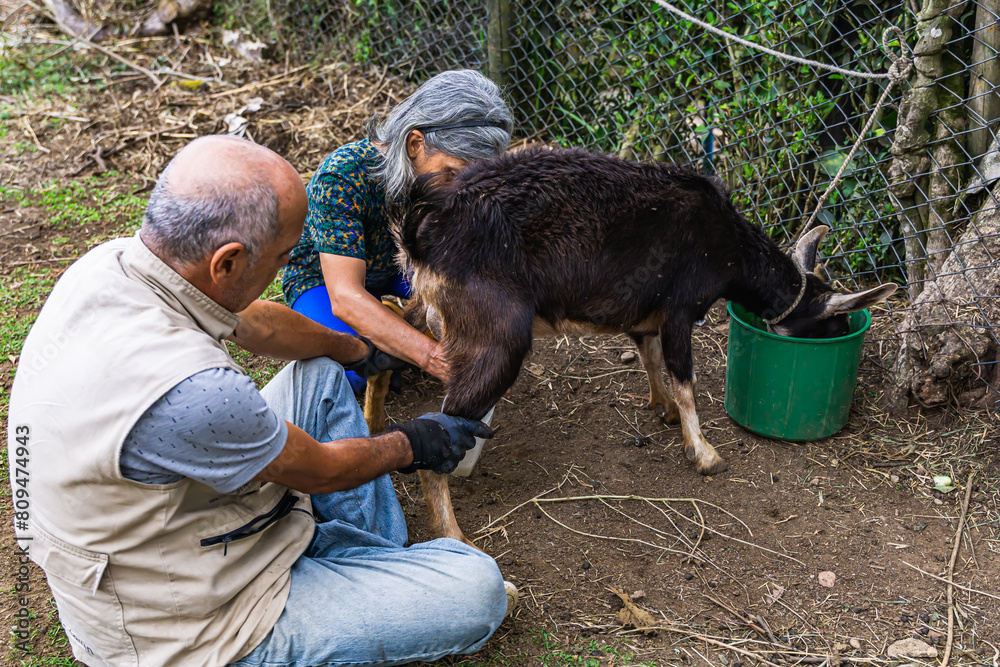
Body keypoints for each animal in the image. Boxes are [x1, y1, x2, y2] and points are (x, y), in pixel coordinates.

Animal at [366, 147, 897, 545]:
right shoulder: (682, 307)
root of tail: (426, 232)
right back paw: (454, 536)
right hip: (497, 333)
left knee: (390, 332)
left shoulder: (647, 316)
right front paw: (703, 452)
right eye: (834, 324)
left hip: (435, 306)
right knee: (440, 435)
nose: (844, 333)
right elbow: (684, 376)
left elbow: (651, 358)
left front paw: (662, 409)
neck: (727, 245)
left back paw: (372, 419)